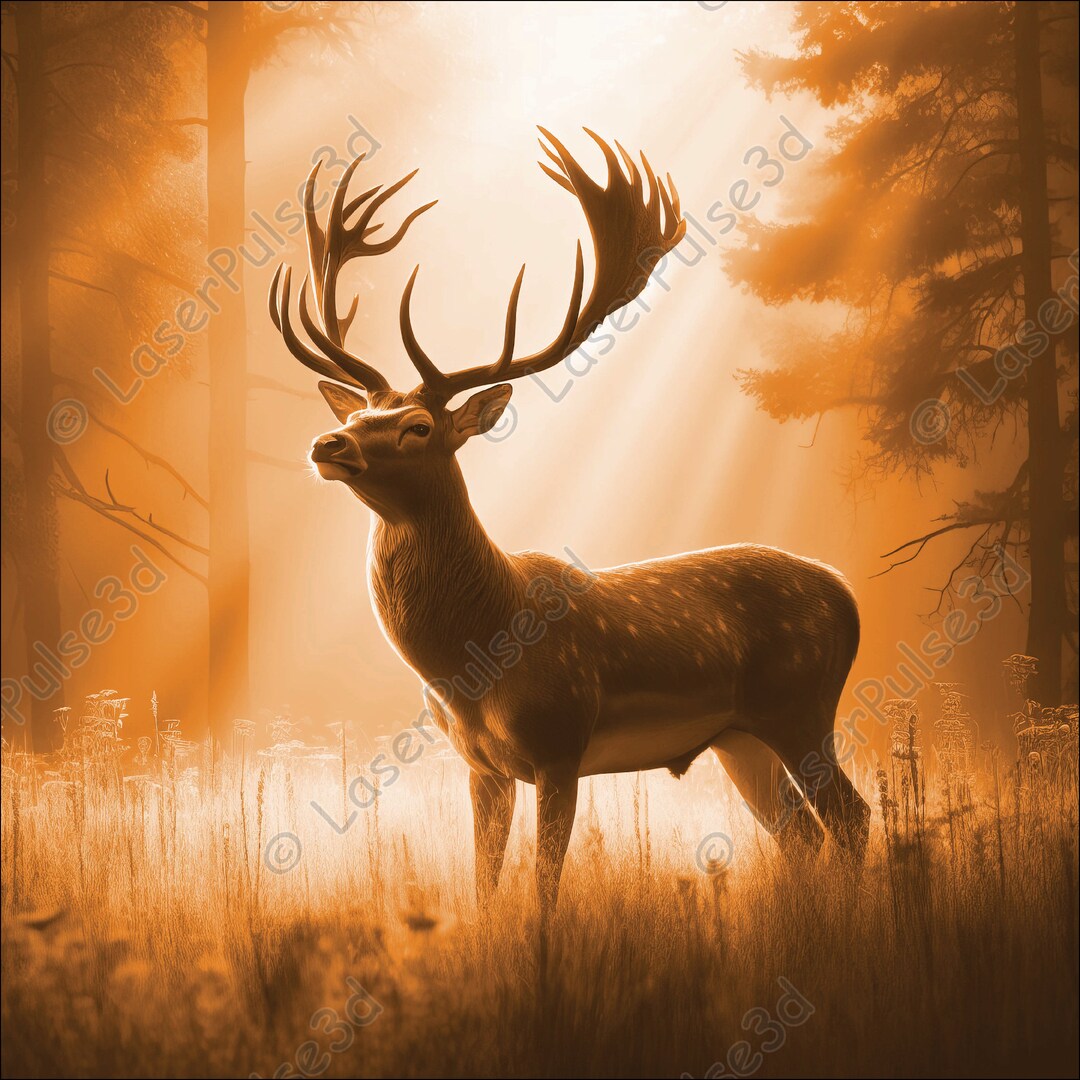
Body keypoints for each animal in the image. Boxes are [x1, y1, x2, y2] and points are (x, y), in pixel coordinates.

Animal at [269, 128, 871, 925]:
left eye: (418, 426)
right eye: (362, 413)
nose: (327, 444)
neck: (473, 659)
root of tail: (846, 592)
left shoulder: (560, 741)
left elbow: (543, 889)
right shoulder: (480, 767)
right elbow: (484, 884)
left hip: (801, 704)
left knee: (851, 819)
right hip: (738, 738)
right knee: (800, 835)